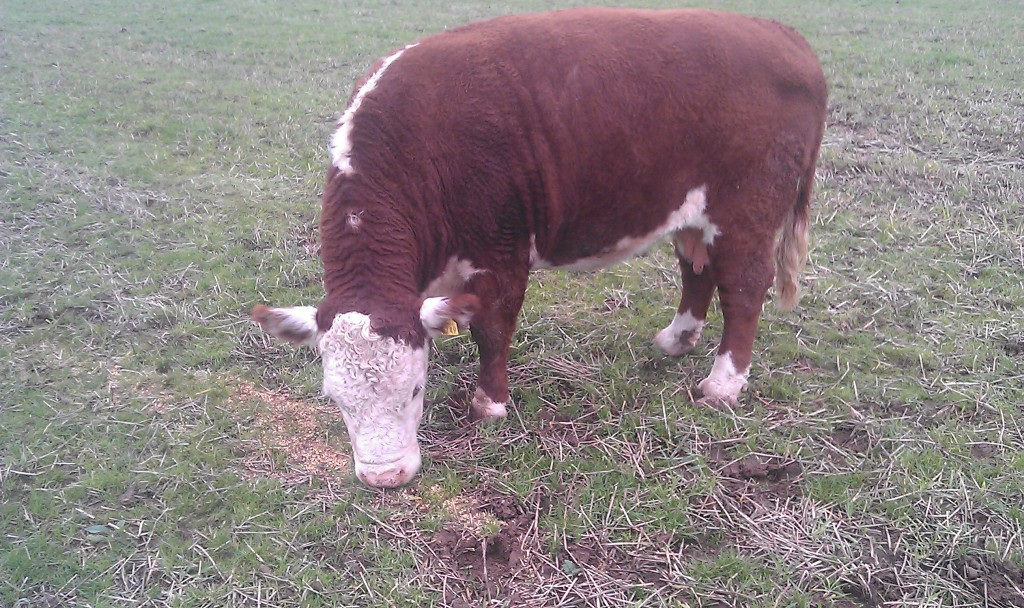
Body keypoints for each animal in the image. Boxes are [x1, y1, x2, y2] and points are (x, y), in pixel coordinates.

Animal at [251, 8, 828, 488]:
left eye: (415, 388)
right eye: (334, 399)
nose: (384, 477)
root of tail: (783, 34)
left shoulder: (501, 249)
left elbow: (492, 329)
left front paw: (489, 406)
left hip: (746, 210)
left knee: (745, 288)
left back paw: (723, 385)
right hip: (693, 211)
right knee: (697, 270)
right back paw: (675, 340)